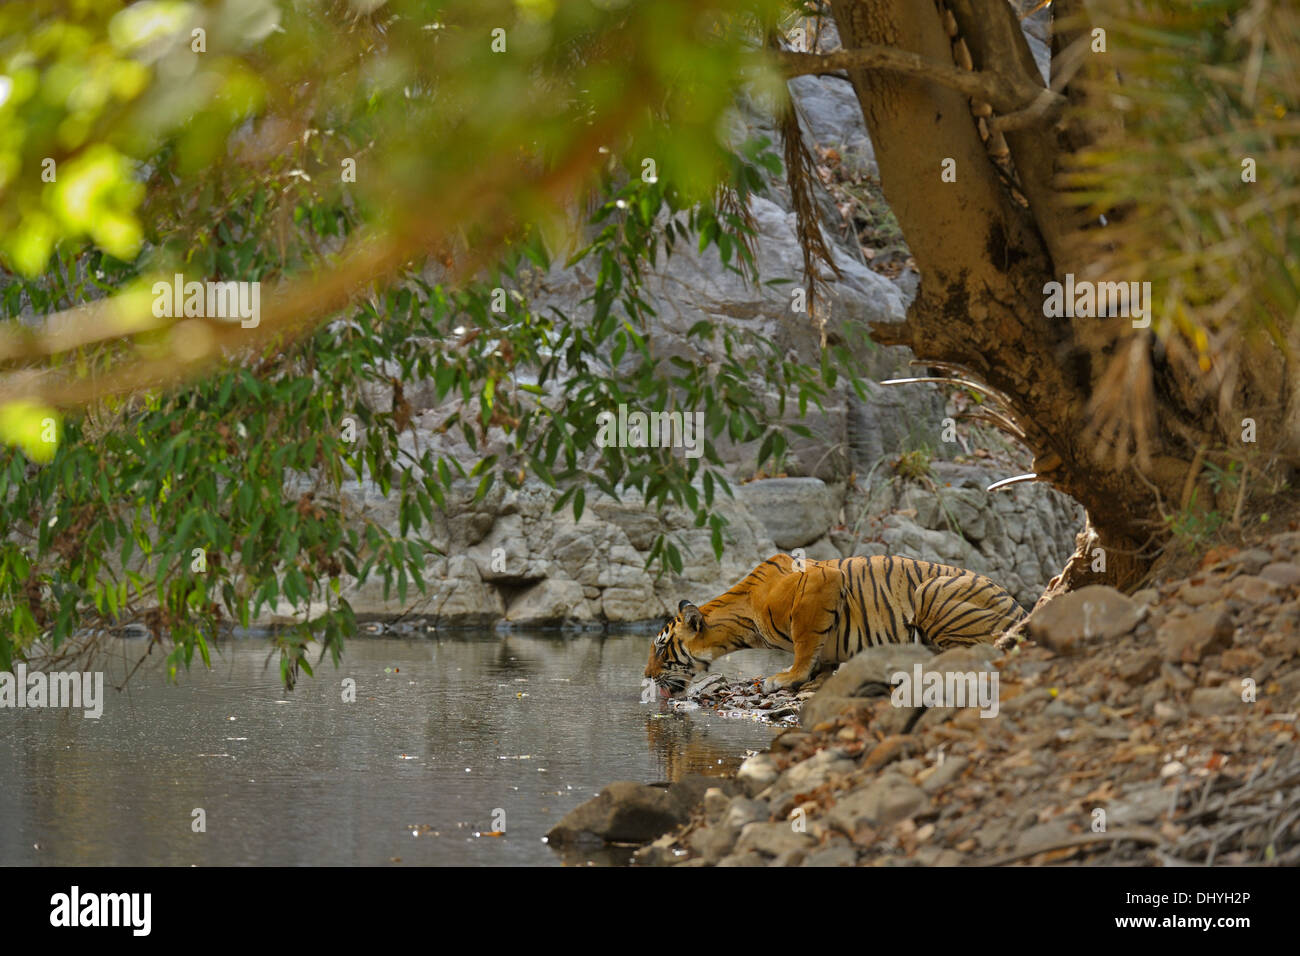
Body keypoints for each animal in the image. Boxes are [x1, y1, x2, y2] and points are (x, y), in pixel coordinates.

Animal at [644, 552, 1027, 698]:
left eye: (662, 648)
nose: (646, 677)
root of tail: (1019, 606)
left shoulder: (821, 583)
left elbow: (805, 643)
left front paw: (786, 677)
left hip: (931, 591)